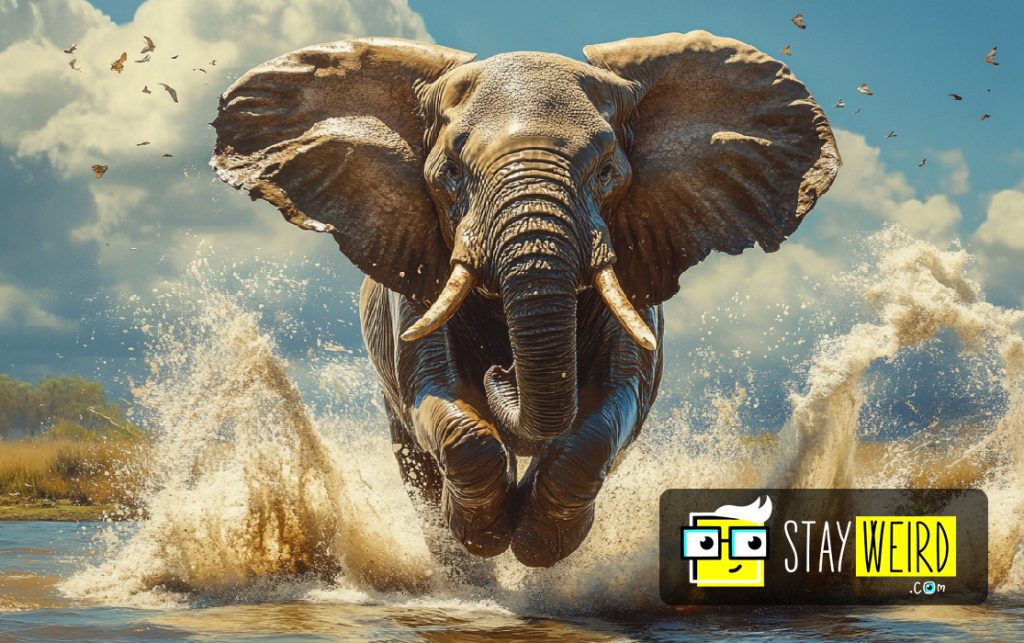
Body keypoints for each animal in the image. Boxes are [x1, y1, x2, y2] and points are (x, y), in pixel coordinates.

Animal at [210, 31, 839, 568]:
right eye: (451, 173)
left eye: (607, 172)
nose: (504, 367)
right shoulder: (417, 279)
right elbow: (441, 398)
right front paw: (485, 533)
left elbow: (614, 403)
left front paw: (539, 541)